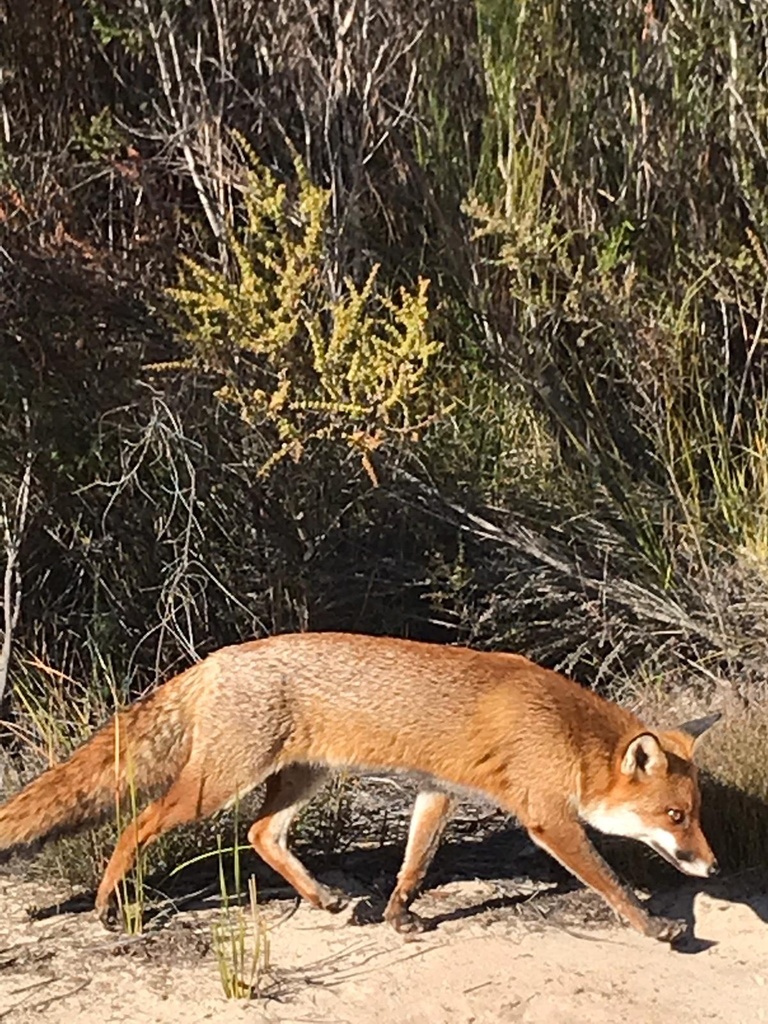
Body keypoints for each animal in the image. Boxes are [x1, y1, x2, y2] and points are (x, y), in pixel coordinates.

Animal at [0, 632, 720, 941]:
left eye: (694, 812)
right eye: (675, 816)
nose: (713, 867)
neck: (563, 731)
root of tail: (215, 659)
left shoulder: (437, 791)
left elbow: (414, 865)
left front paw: (398, 915)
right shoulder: (547, 818)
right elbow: (610, 881)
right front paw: (654, 925)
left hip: (298, 780)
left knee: (261, 834)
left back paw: (323, 897)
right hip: (213, 788)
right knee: (136, 823)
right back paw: (107, 905)